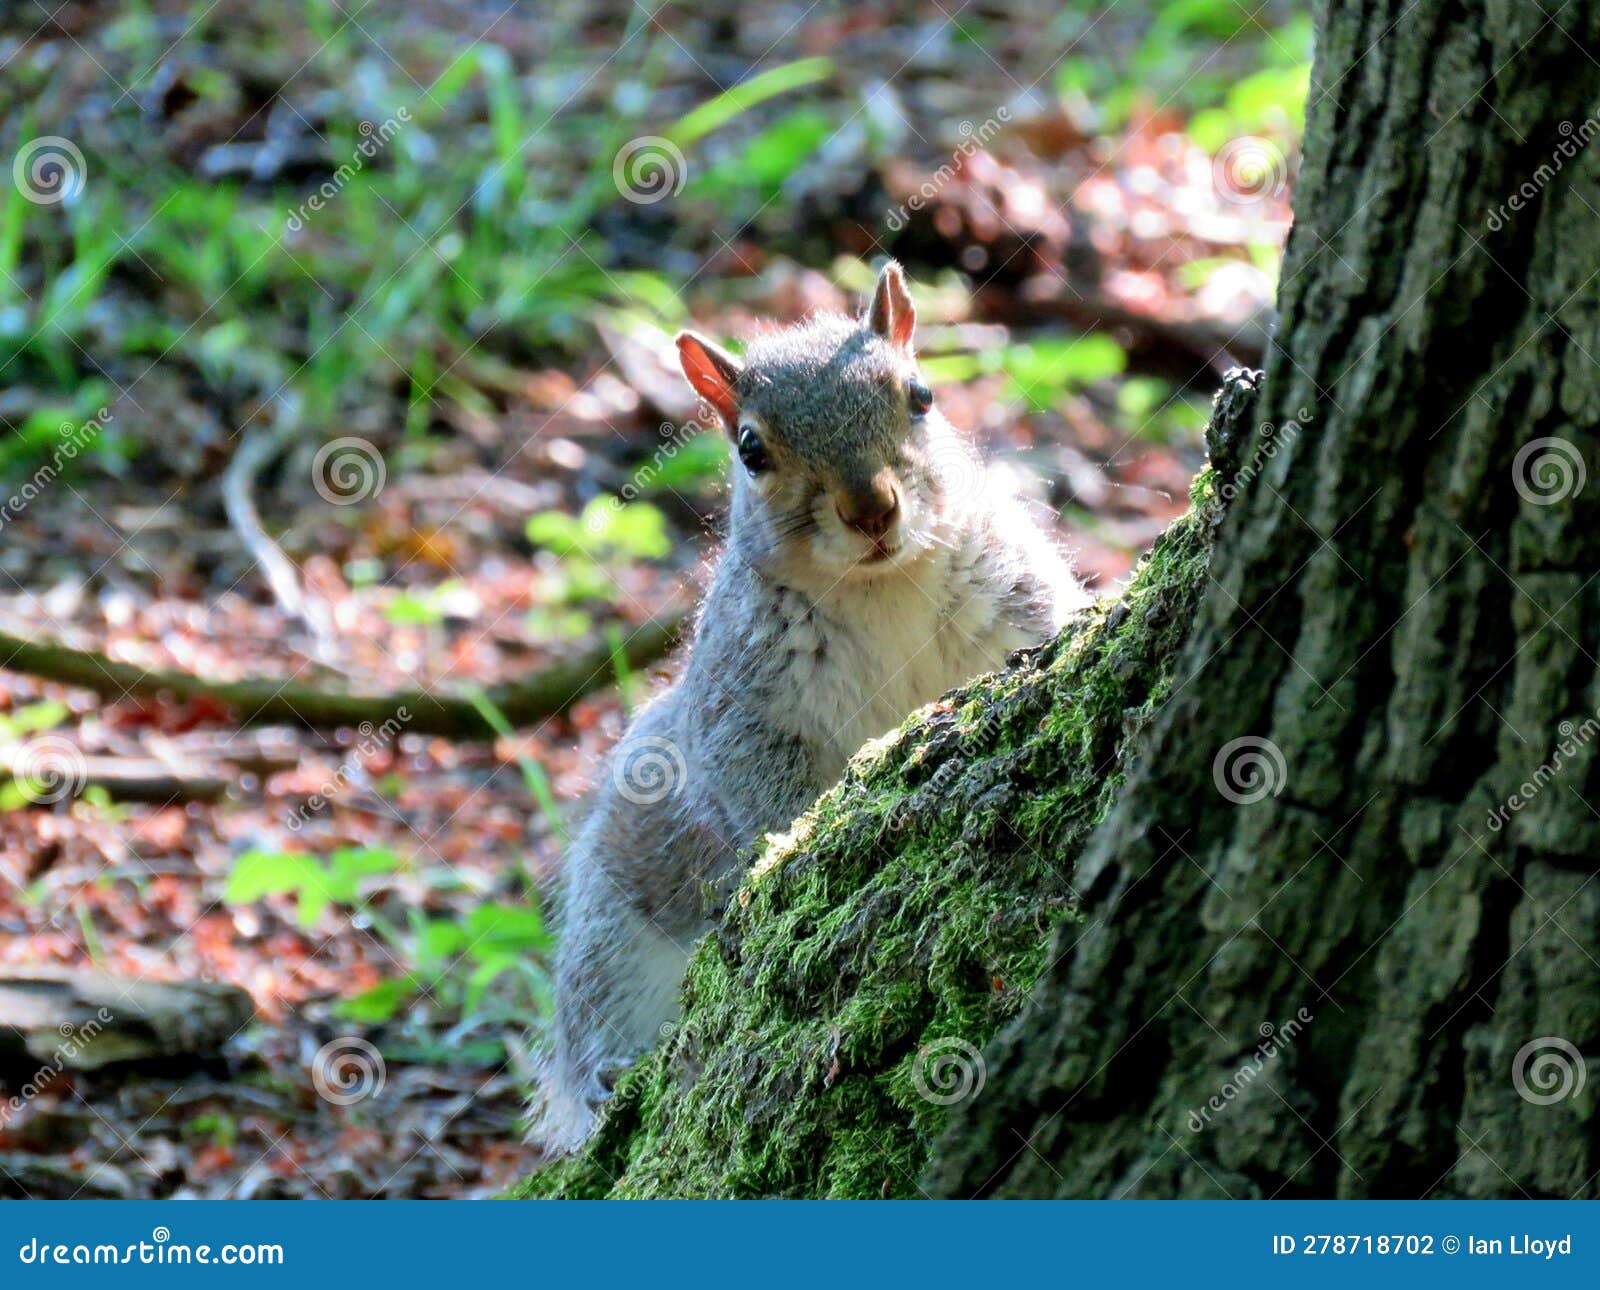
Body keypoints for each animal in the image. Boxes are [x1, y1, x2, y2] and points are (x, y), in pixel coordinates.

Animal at [536, 262, 1088, 1151]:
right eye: (750, 449)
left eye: (922, 395)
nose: (871, 509)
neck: (879, 588)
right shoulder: (743, 704)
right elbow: (758, 788)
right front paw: (793, 842)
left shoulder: (1020, 604)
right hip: (614, 931)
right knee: (590, 1015)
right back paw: (599, 1083)